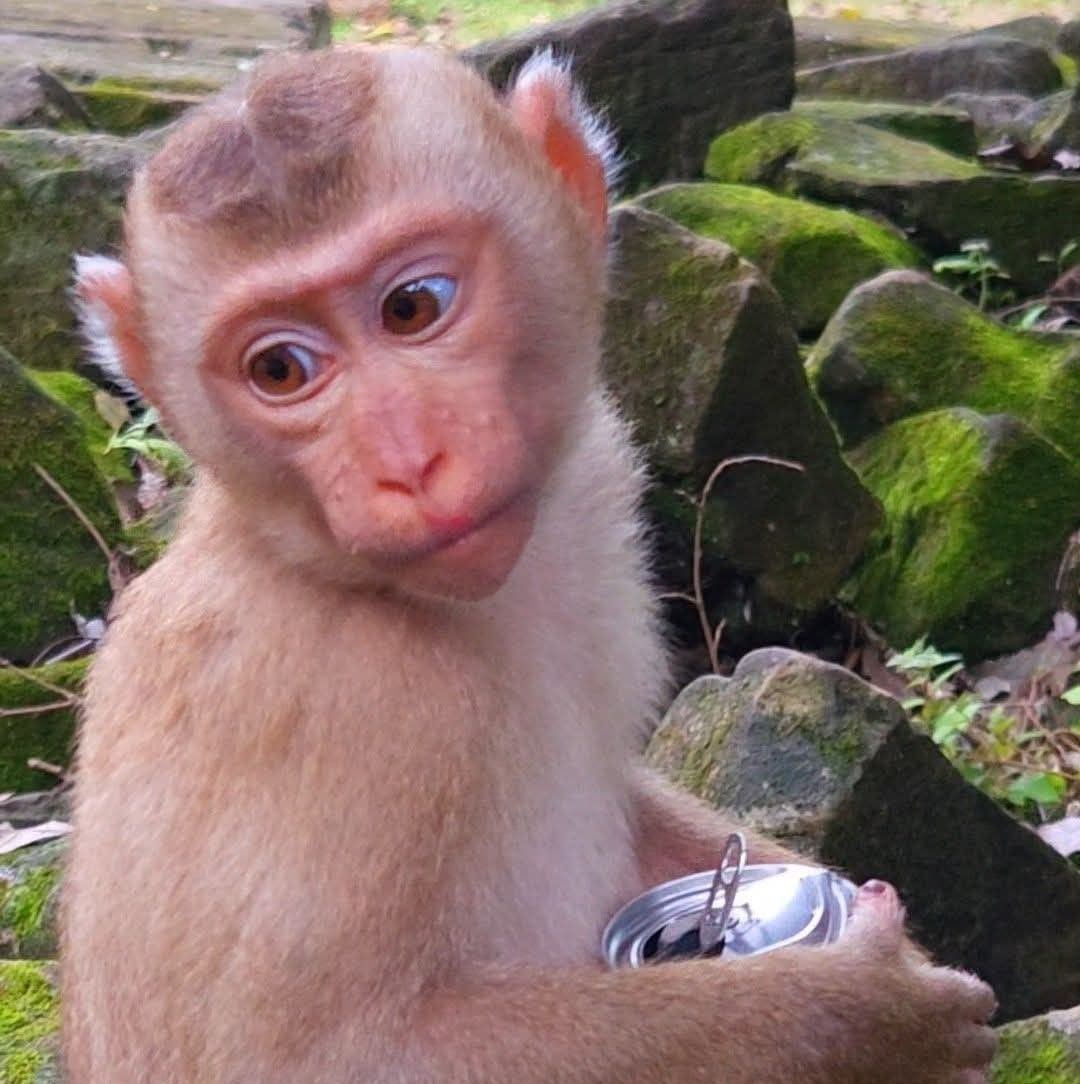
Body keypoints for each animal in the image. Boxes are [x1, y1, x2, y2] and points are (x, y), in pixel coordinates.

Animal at [63, 45, 997, 1084]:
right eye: (279, 370)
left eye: (412, 306)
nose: (406, 463)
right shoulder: (348, 709)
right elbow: (320, 1058)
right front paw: (865, 1014)